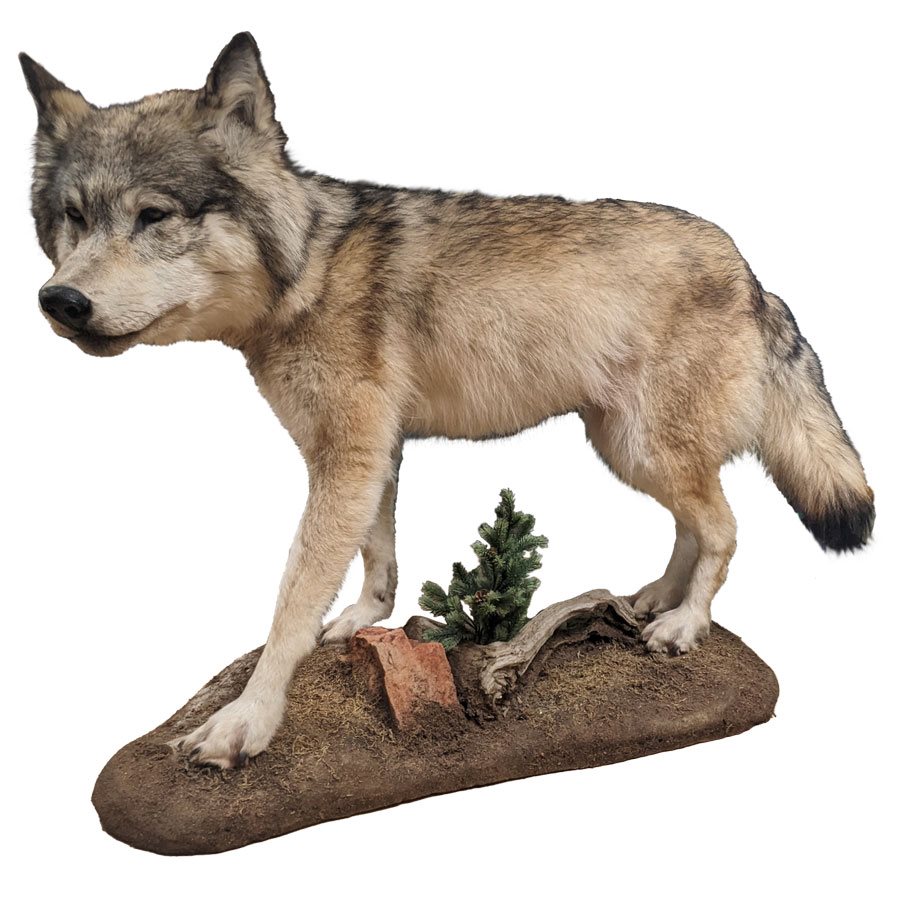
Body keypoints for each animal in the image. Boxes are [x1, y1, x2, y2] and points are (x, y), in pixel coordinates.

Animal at [21, 32, 874, 768]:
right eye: (75, 218)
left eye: (153, 216)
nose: (57, 301)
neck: (307, 272)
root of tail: (753, 273)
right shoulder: (368, 457)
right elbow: (378, 559)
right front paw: (360, 623)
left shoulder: (348, 460)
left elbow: (289, 603)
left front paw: (246, 723)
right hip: (627, 449)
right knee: (694, 527)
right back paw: (654, 599)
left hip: (644, 449)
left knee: (724, 528)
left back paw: (685, 625)